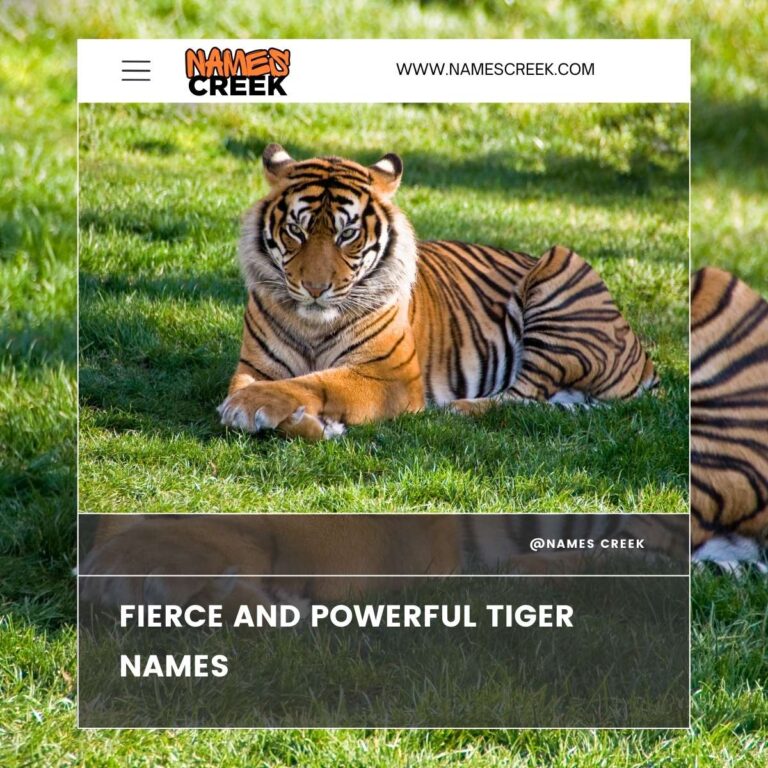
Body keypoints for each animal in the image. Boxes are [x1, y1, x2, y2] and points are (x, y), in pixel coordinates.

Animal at [217, 144, 658, 440]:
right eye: (297, 230)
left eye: (347, 234)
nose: (314, 289)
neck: (313, 325)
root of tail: (645, 360)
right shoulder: (255, 364)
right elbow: (259, 384)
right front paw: (306, 422)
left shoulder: (389, 375)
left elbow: (316, 382)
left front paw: (250, 408)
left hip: (560, 265)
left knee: (523, 395)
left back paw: (457, 409)